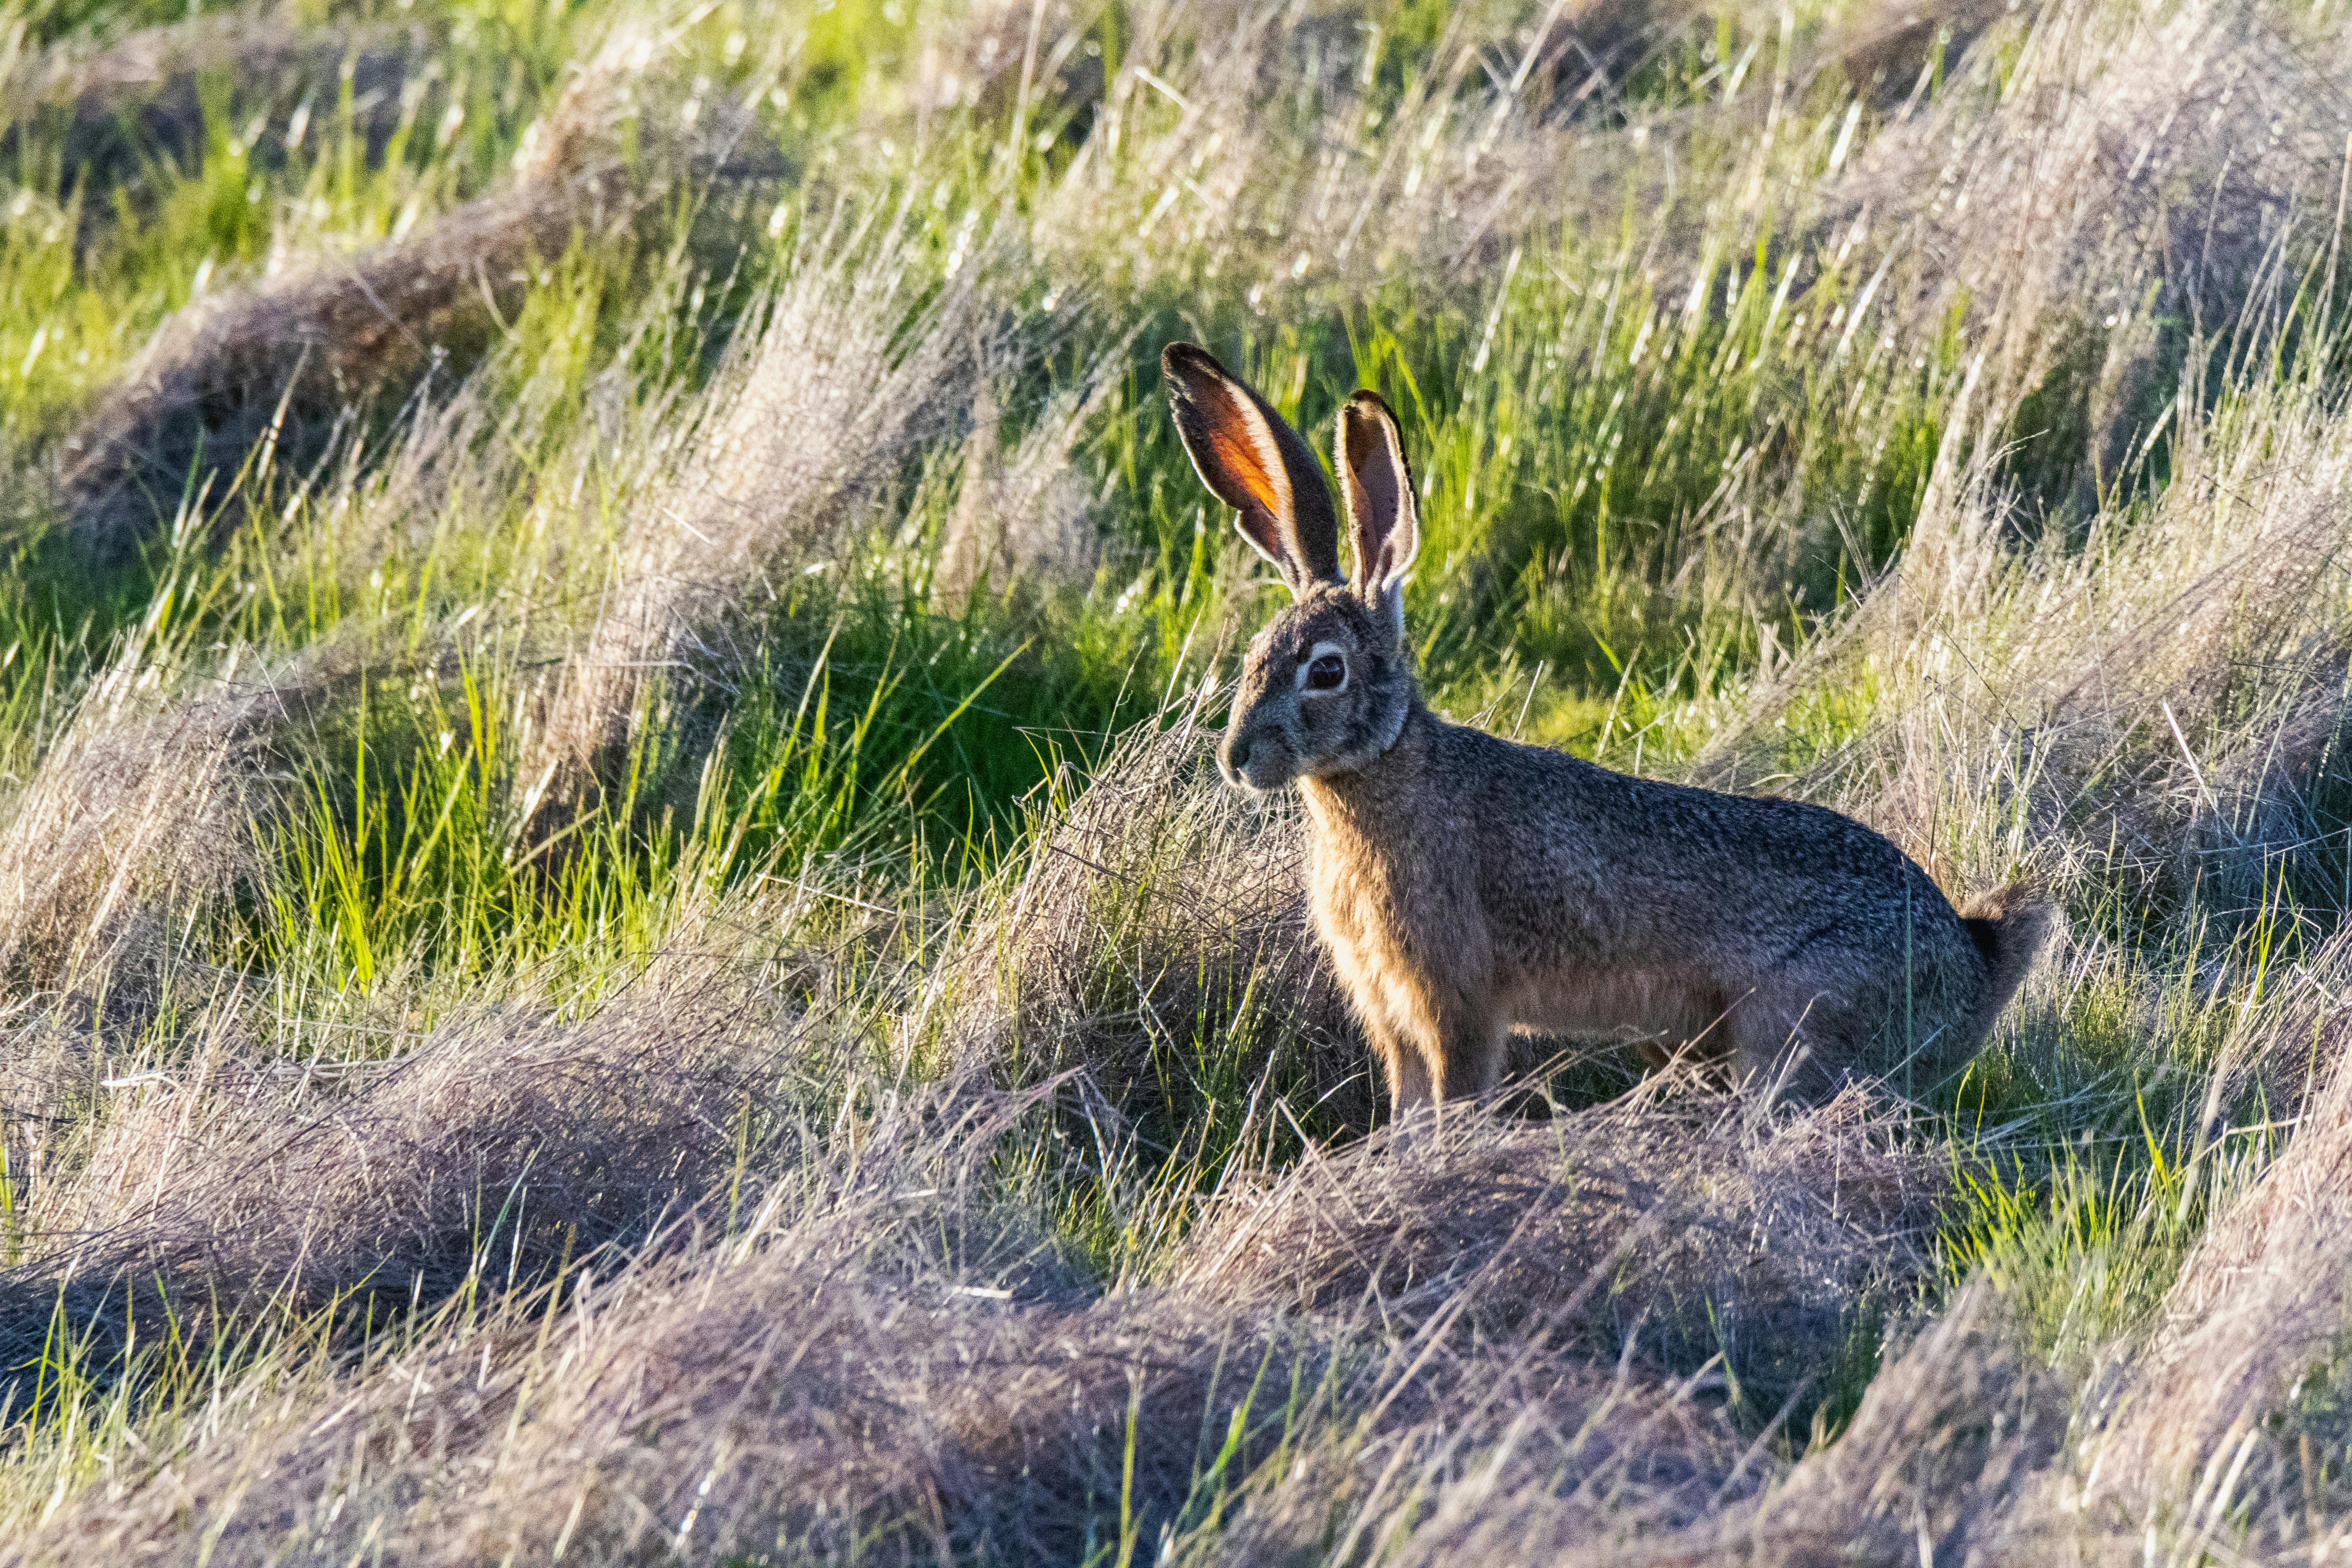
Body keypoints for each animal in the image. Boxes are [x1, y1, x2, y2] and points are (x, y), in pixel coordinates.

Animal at [1161, 341, 2050, 1114]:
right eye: (1254, 654)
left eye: (1326, 671)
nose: (1237, 757)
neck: (1377, 771)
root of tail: (1976, 967)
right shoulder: (1395, 1018)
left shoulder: (1458, 1004)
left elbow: (1454, 1098)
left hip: (1798, 1023)